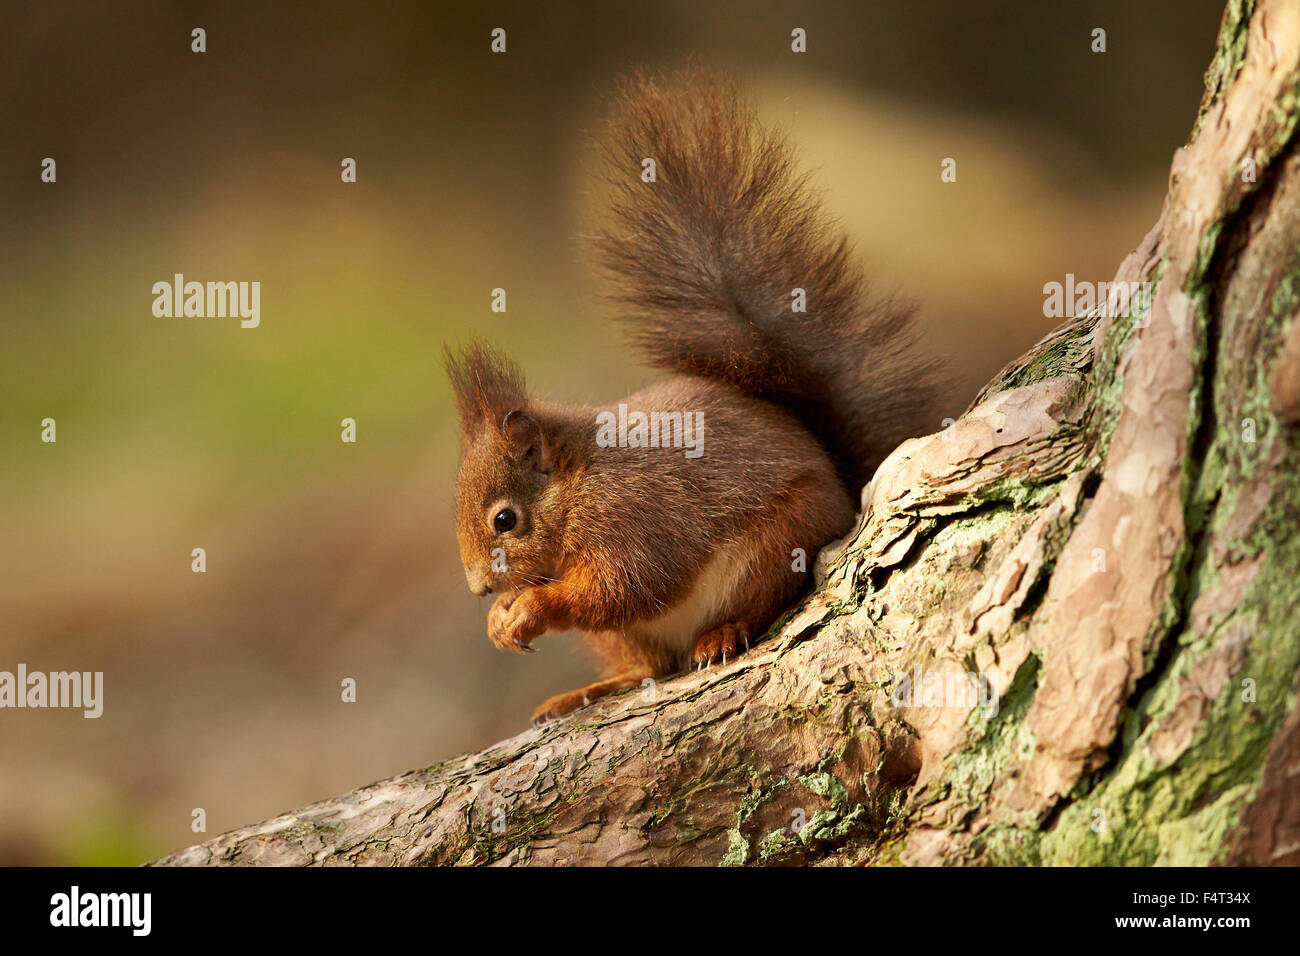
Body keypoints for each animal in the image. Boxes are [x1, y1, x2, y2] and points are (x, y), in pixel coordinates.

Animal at [445, 69, 939, 725]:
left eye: (506, 519)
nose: (479, 588)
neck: (577, 486)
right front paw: (502, 619)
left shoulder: (633, 517)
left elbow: (627, 586)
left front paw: (527, 607)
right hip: (626, 639)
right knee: (649, 666)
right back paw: (590, 689)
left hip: (775, 544)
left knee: (759, 604)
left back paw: (721, 634)